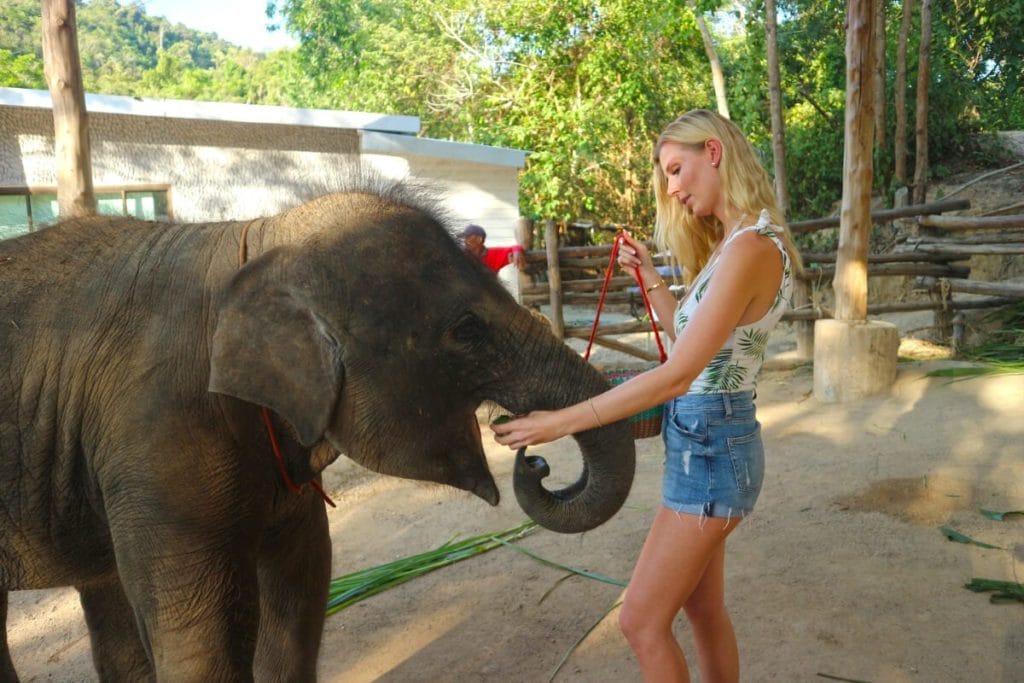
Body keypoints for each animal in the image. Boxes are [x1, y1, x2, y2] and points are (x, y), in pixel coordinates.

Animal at [0, 175, 635, 681]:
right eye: (467, 330)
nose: (535, 459)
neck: (254, 244)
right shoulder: (158, 433)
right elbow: (201, 634)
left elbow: (302, 587)